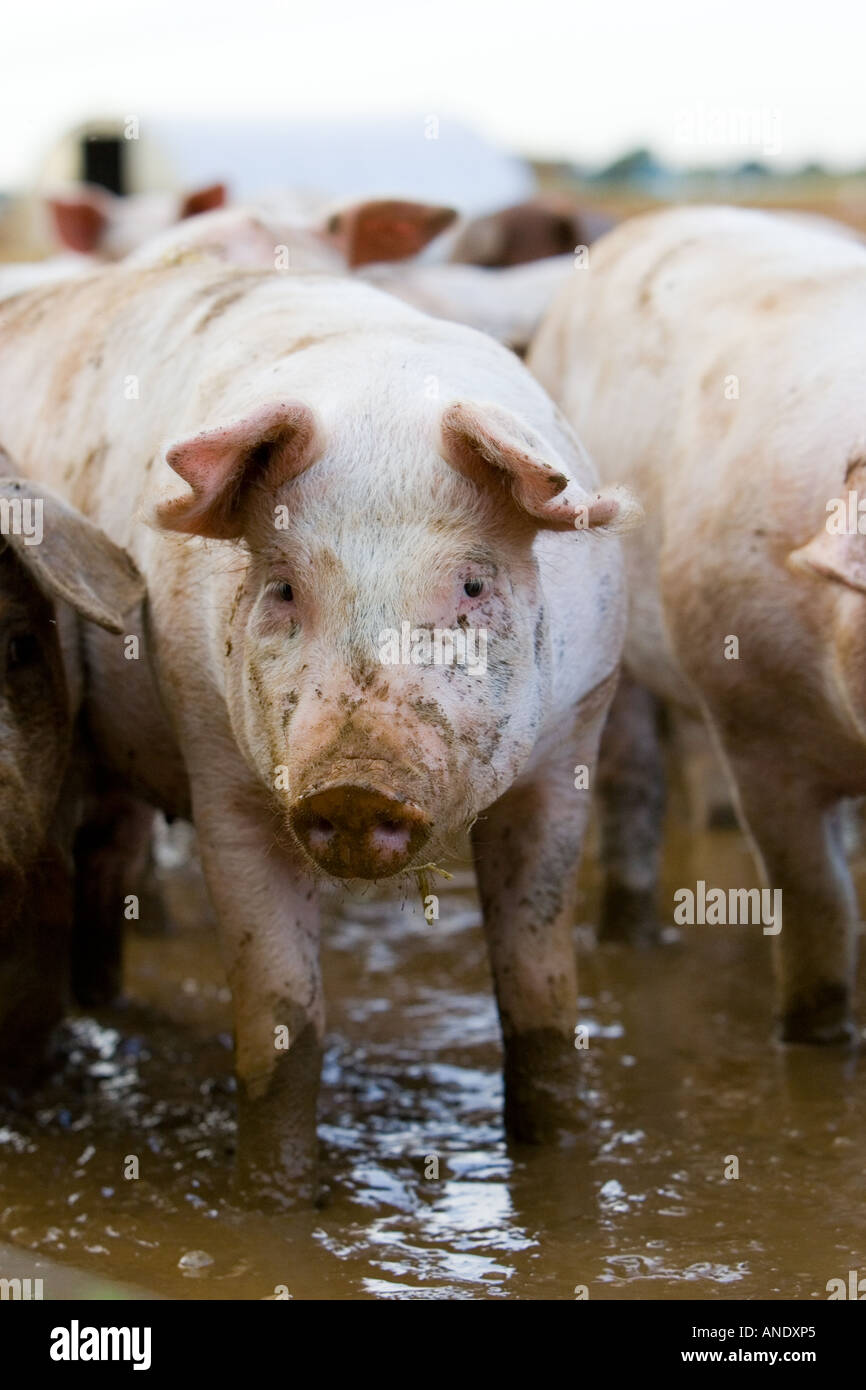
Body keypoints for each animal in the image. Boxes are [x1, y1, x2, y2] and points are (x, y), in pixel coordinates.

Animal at [0, 263, 639, 1203]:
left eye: (473, 586)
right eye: (284, 589)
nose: (355, 780)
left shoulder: (570, 750)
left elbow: (543, 1004)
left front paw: (560, 1157)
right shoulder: (216, 766)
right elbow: (281, 1024)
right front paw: (272, 1202)